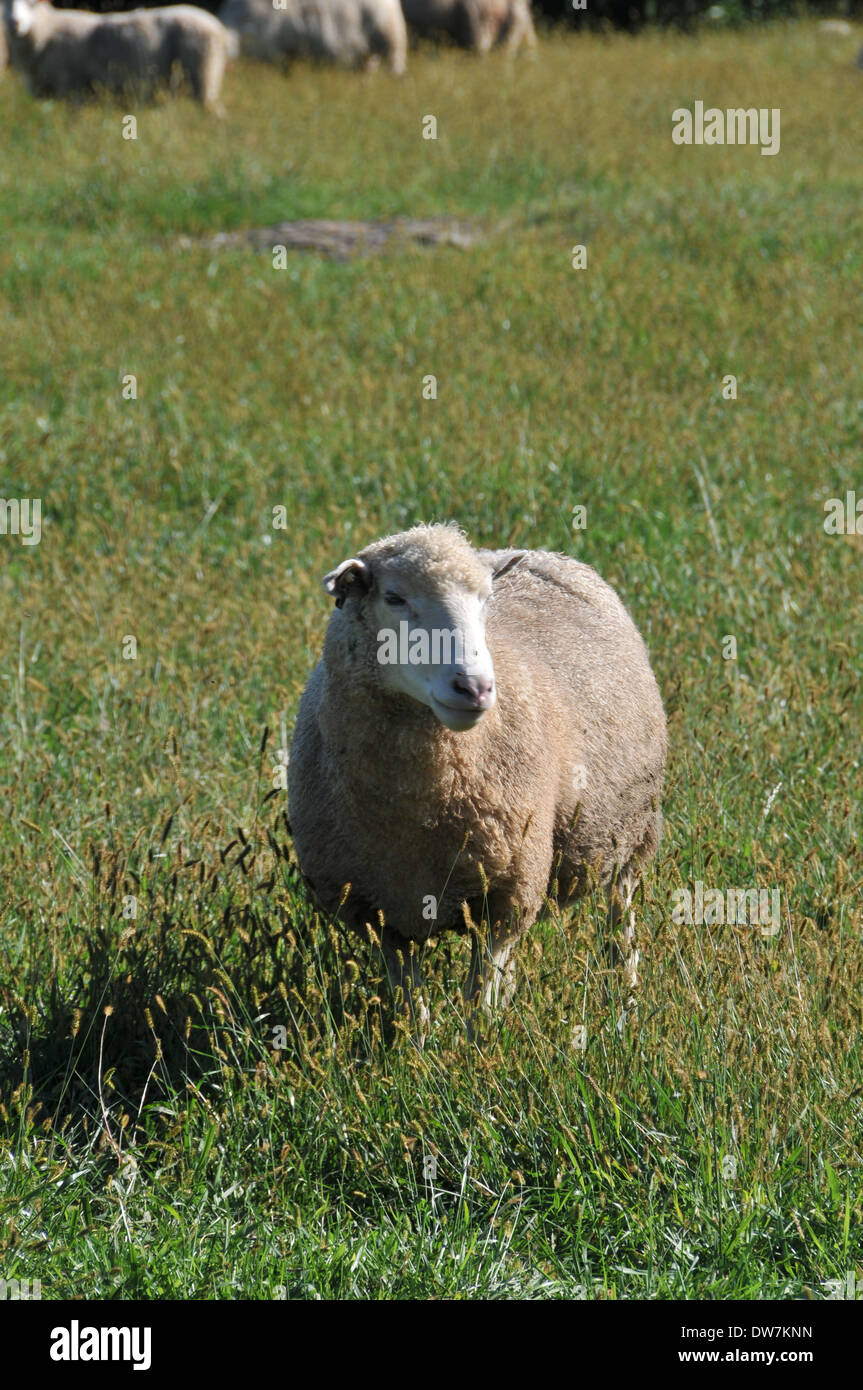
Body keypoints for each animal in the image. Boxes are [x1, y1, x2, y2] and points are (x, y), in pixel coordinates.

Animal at [7, 0, 230, 108]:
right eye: (5, 3)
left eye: (31, 3)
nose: (14, 22)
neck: (48, 30)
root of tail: (218, 27)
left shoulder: (74, 90)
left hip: (203, 79)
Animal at [287, 523, 667, 1041]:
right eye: (394, 597)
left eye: (486, 599)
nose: (475, 687)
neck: (413, 810)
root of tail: (545, 553)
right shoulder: (379, 909)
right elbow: (410, 999)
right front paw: (418, 1049)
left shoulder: (507, 892)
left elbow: (479, 996)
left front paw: (476, 1048)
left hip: (632, 834)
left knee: (619, 922)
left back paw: (622, 1007)